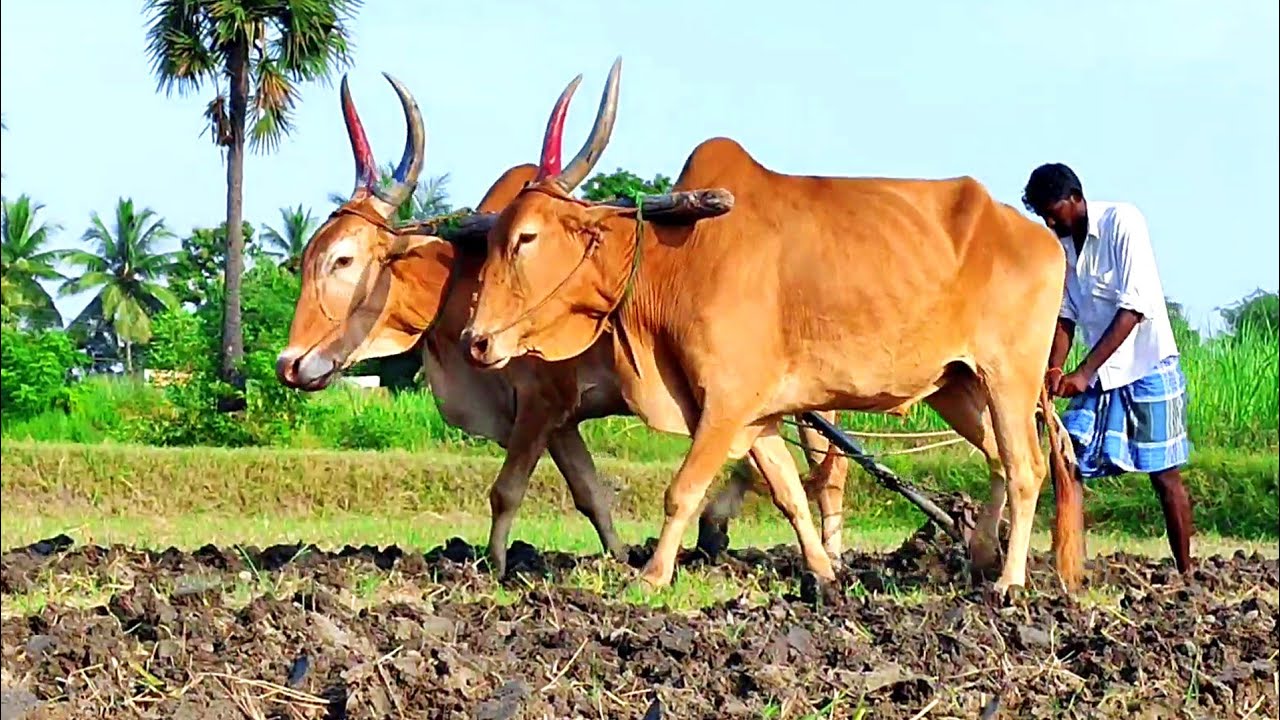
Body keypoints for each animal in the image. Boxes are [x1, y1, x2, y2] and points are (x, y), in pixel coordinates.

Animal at [273, 72, 853, 577]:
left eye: (343, 259)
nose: (290, 364)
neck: (470, 277)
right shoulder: (562, 419)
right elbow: (590, 493)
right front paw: (619, 557)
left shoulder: (541, 402)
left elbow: (506, 490)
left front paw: (497, 568)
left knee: (823, 467)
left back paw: (815, 549)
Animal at [453, 57, 1084, 595]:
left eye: (526, 237)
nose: (477, 341)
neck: (677, 256)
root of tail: (1037, 235)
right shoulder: (753, 412)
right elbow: (788, 493)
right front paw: (825, 575)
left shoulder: (726, 400)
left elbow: (683, 490)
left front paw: (651, 577)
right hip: (957, 385)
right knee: (998, 459)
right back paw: (980, 558)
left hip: (1009, 377)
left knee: (1026, 468)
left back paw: (1009, 582)